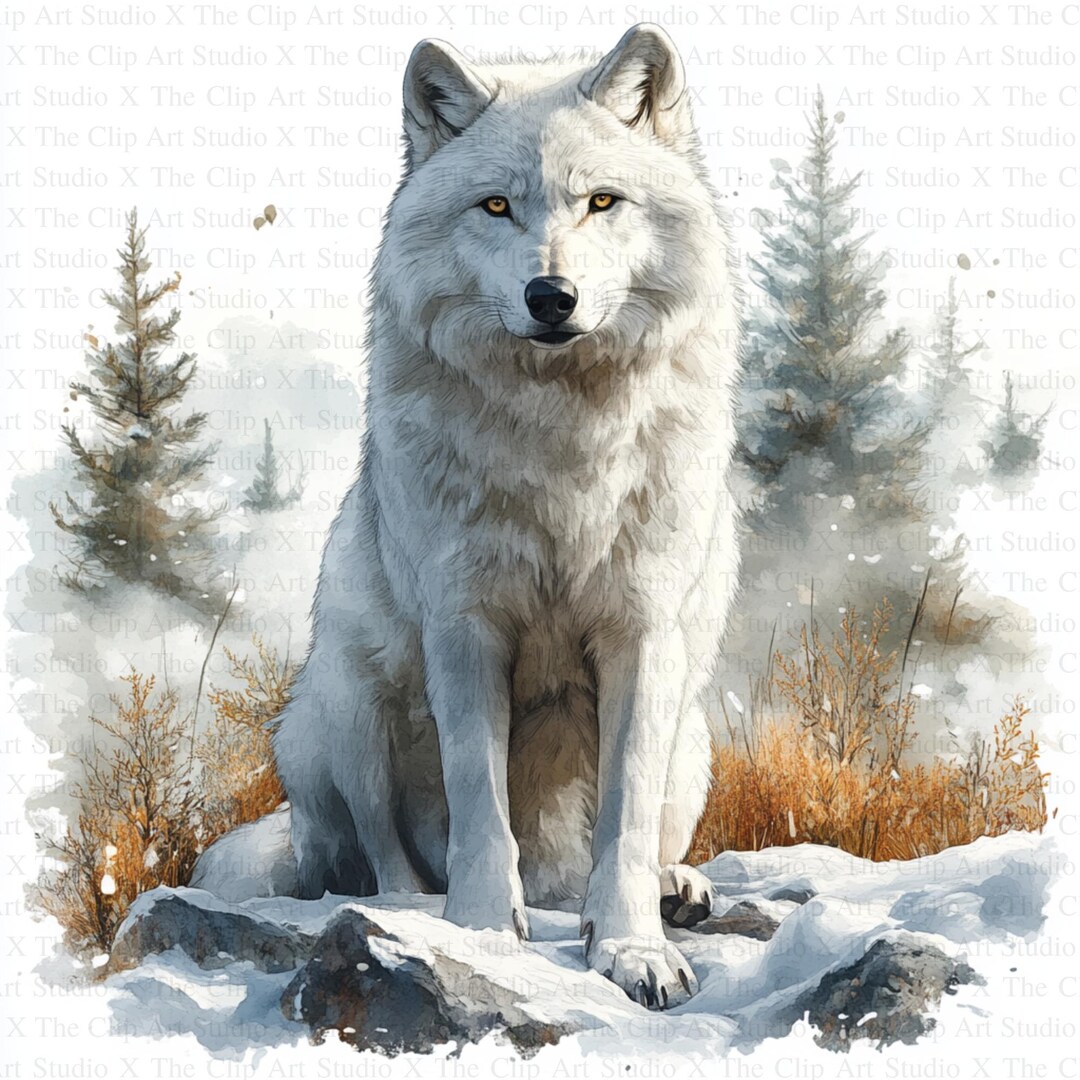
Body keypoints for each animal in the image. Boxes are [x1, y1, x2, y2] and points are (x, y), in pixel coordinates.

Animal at [192, 23, 742, 1010]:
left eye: (602, 202)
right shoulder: (466, 627)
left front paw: (632, 947)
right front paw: (484, 935)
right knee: (376, 861)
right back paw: (413, 910)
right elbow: (481, 807)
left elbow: (625, 820)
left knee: (635, 841)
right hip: (343, 710)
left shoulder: (643, 635)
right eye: (495, 207)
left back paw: (674, 888)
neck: (562, 433)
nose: (550, 297)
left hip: (692, 740)